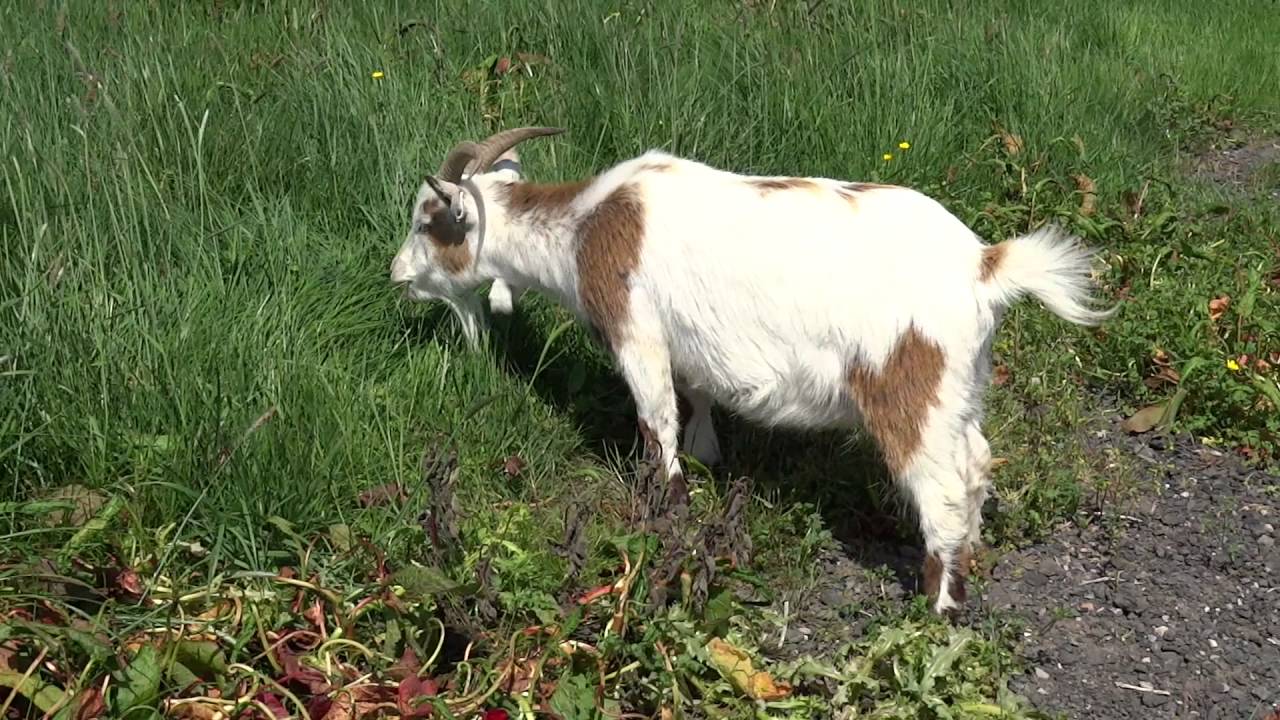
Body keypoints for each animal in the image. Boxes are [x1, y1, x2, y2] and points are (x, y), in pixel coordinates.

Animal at [389, 127, 1114, 615]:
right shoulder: (688, 342)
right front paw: (709, 453)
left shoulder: (636, 331)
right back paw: (974, 549)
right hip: (961, 386)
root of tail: (983, 267)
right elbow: (697, 396)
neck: (583, 227)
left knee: (939, 489)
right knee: (977, 462)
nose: (395, 275)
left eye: (429, 223)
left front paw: (668, 506)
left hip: (910, 387)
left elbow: (657, 421)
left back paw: (938, 604)